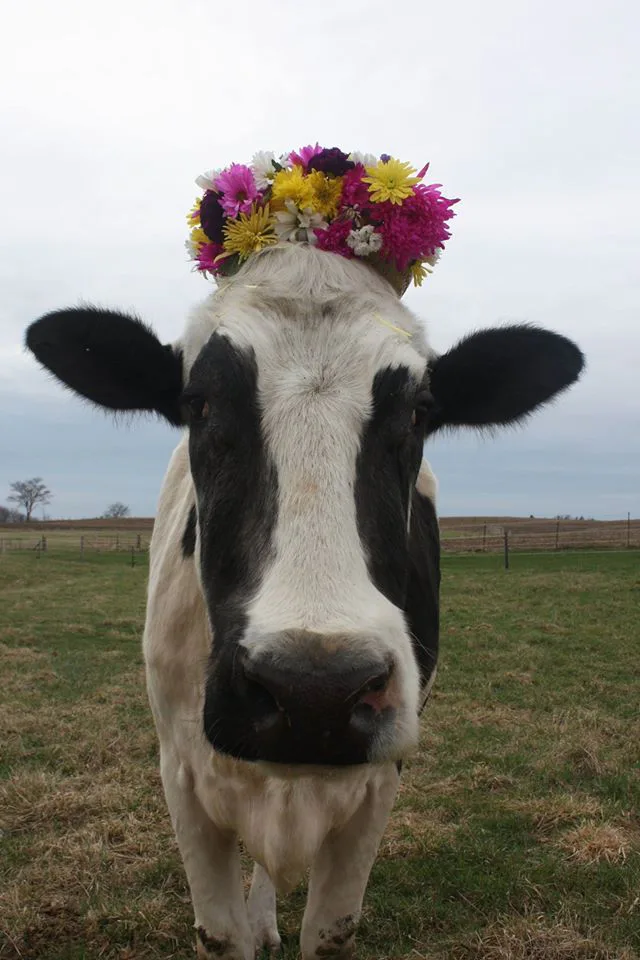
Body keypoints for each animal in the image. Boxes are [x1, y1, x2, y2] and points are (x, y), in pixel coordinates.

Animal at [26, 243, 584, 959]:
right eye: (197, 403)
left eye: (419, 412)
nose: (314, 690)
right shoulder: (181, 774)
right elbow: (221, 934)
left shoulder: (379, 776)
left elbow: (329, 932)